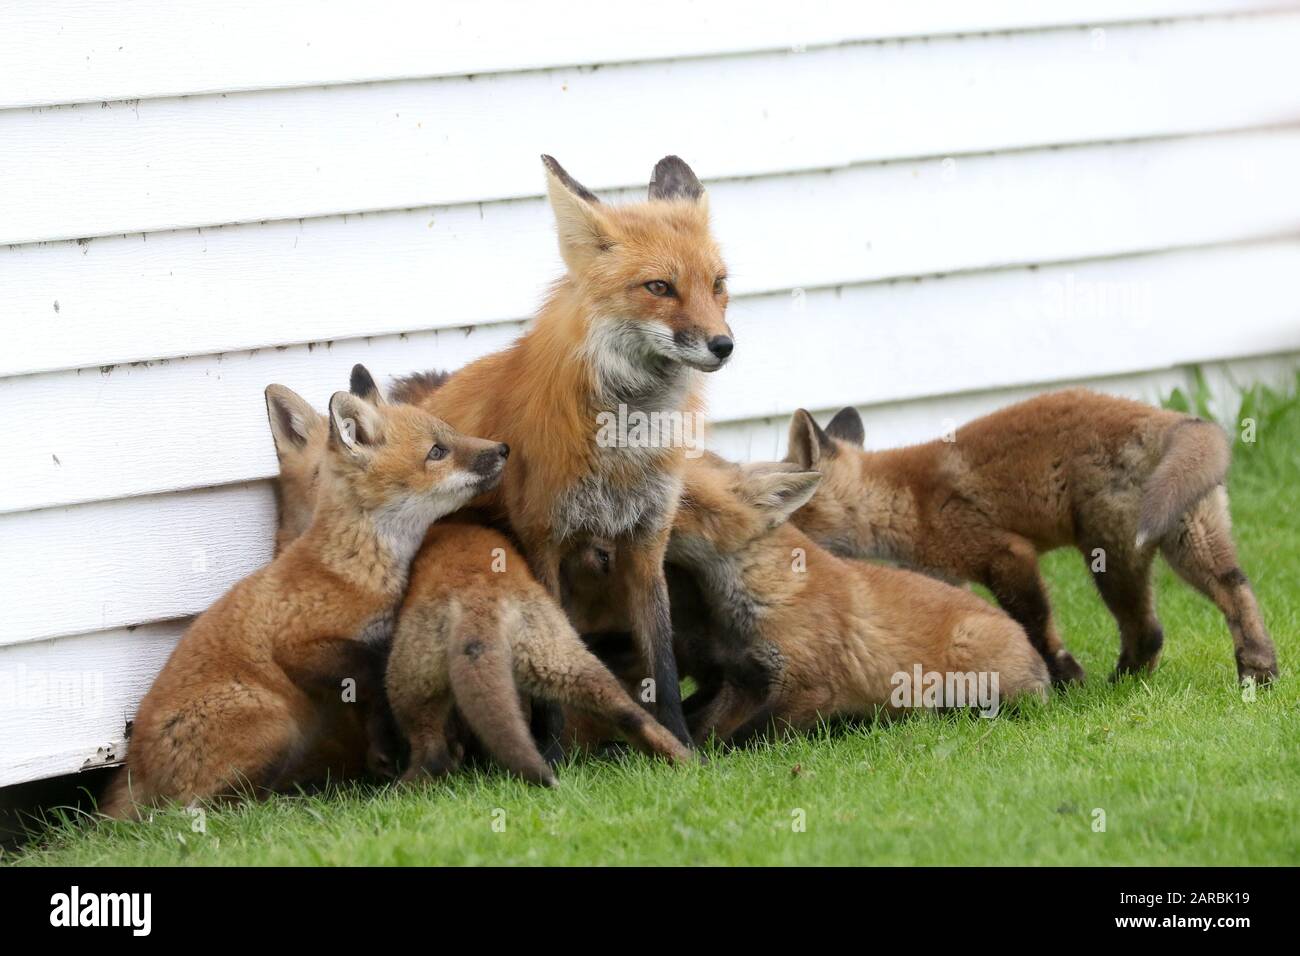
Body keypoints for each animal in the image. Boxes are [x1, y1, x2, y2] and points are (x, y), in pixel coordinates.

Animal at [99, 388, 508, 818]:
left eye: (451, 435)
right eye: (437, 451)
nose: (503, 448)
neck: (356, 566)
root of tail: (134, 767)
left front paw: (383, 752)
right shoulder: (296, 644)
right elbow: (372, 666)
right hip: (274, 724)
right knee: (193, 810)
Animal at [404, 154, 734, 746]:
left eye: (717, 285)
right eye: (659, 286)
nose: (724, 345)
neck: (624, 442)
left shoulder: (647, 540)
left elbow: (664, 664)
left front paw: (680, 743)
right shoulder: (543, 541)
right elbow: (553, 668)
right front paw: (555, 751)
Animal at [658, 454, 1050, 742]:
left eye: (684, 498)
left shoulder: (810, 686)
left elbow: (746, 737)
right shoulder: (744, 680)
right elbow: (704, 727)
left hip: (970, 657)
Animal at [784, 389, 1279, 687]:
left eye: (789, 504)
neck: (904, 502)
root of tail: (1166, 418)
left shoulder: (1007, 554)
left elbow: (1035, 624)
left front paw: (1065, 676)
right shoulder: (944, 574)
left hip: (1110, 559)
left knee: (1150, 632)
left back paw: (1117, 684)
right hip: (1192, 542)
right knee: (1235, 593)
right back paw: (1258, 669)